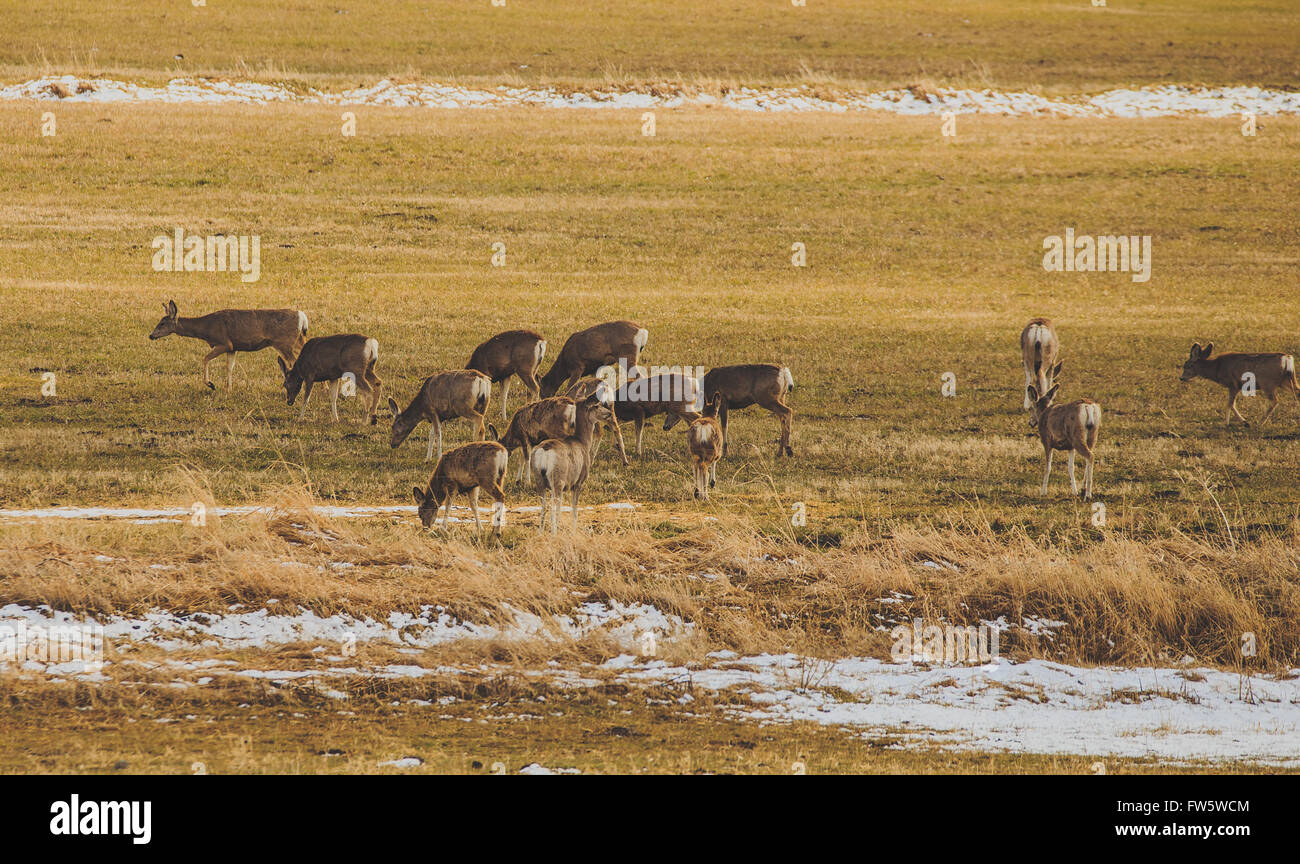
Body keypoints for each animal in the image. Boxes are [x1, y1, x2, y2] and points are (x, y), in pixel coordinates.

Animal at [149, 300, 308, 390]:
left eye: (162, 323)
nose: (151, 335)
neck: (206, 328)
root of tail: (302, 317)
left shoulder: (224, 343)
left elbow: (205, 359)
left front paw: (211, 384)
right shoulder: (233, 347)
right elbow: (229, 367)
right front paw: (229, 389)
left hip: (285, 342)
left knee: (293, 362)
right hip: (298, 340)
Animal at [530, 392, 614, 533]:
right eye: (596, 405)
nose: (609, 413)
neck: (583, 442)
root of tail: (545, 450)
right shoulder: (578, 482)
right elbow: (574, 510)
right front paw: (574, 530)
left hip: (538, 478)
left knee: (544, 507)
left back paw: (541, 533)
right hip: (558, 479)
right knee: (554, 509)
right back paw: (554, 533)